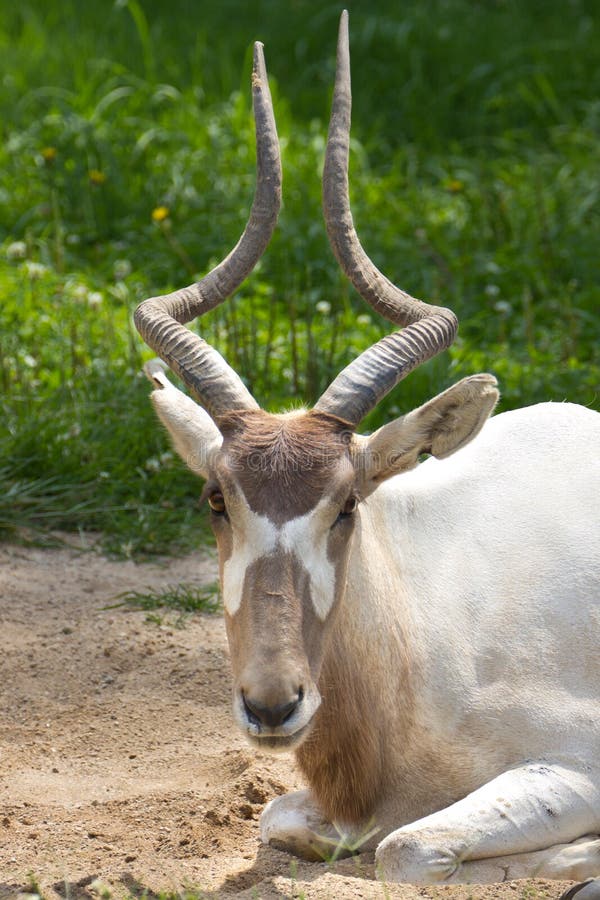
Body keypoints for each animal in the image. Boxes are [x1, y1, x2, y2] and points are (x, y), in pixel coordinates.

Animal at [133, 11, 600, 886]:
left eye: (347, 504)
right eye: (216, 499)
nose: (273, 704)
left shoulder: (578, 760)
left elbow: (405, 846)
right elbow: (289, 821)